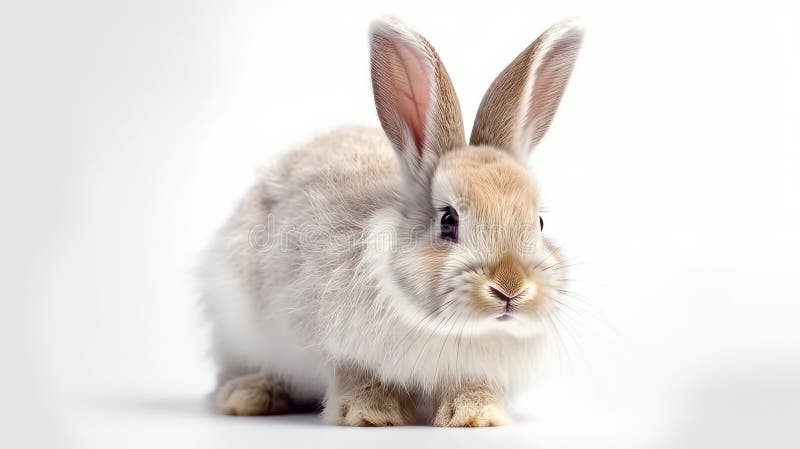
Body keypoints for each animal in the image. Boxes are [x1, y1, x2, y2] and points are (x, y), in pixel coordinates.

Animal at [199, 16, 583, 426]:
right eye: (448, 221)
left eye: (538, 222)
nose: (510, 288)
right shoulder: (339, 347)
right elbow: (360, 378)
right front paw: (371, 414)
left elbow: (474, 385)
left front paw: (477, 415)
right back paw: (249, 395)